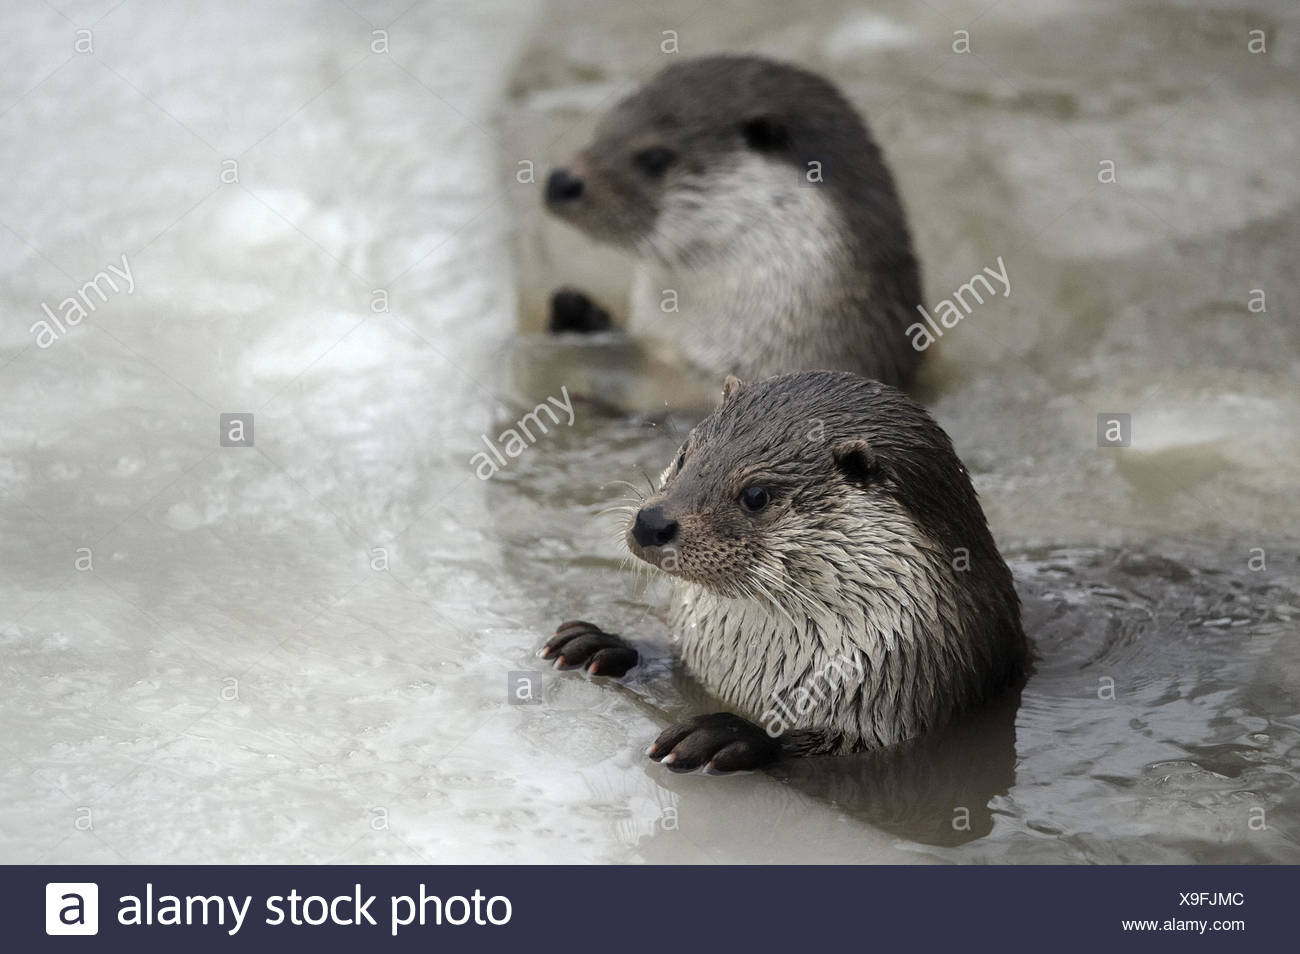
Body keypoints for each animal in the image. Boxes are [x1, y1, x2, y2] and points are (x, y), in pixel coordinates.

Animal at [541, 371, 1028, 772]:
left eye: (756, 495)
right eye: (683, 456)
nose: (651, 522)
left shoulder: (912, 691)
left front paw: (726, 734)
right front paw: (602, 642)